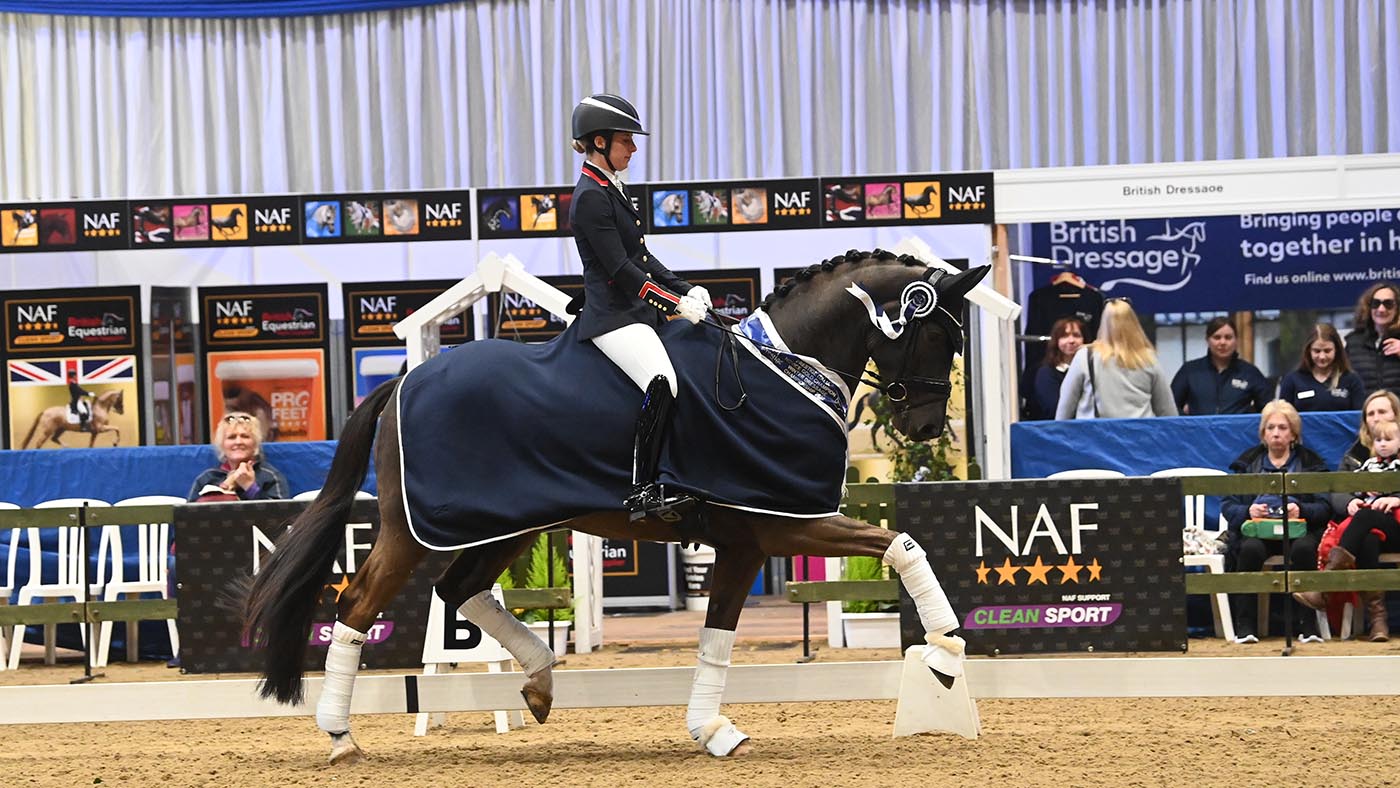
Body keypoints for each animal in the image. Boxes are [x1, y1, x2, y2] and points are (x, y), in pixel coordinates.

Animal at [243, 250, 988, 764]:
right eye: (937, 337)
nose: (927, 427)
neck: (782, 369)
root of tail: (400, 383)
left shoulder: (747, 543)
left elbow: (718, 639)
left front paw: (711, 728)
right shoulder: (785, 527)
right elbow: (902, 545)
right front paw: (947, 647)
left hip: (509, 527)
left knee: (459, 589)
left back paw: (540, 682)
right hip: (415, 532)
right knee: (358, 605)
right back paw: (340, 736)